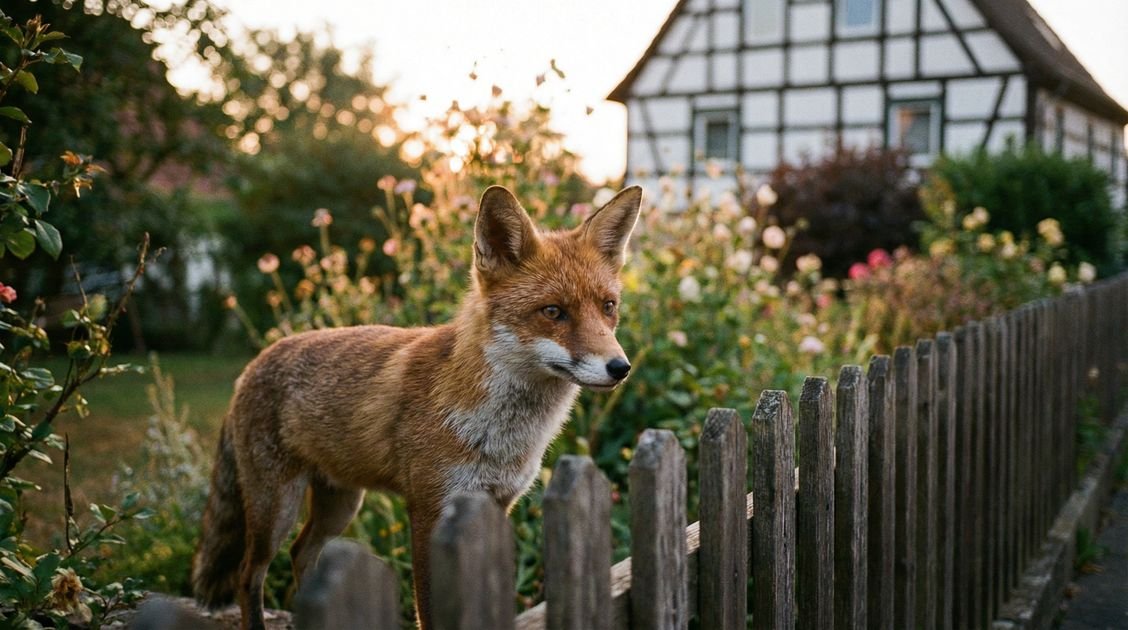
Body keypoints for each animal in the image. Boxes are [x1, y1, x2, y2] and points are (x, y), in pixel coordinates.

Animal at [191, 184, 642, 629]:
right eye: (553, 311)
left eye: (608, 307)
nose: (620, 368)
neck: (499, 432)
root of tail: (251, 365)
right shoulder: (429, 508)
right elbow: (430, 610)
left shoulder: (498, 504)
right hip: (276, 509)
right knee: (248, 574)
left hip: (341, 504)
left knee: (301, 555)